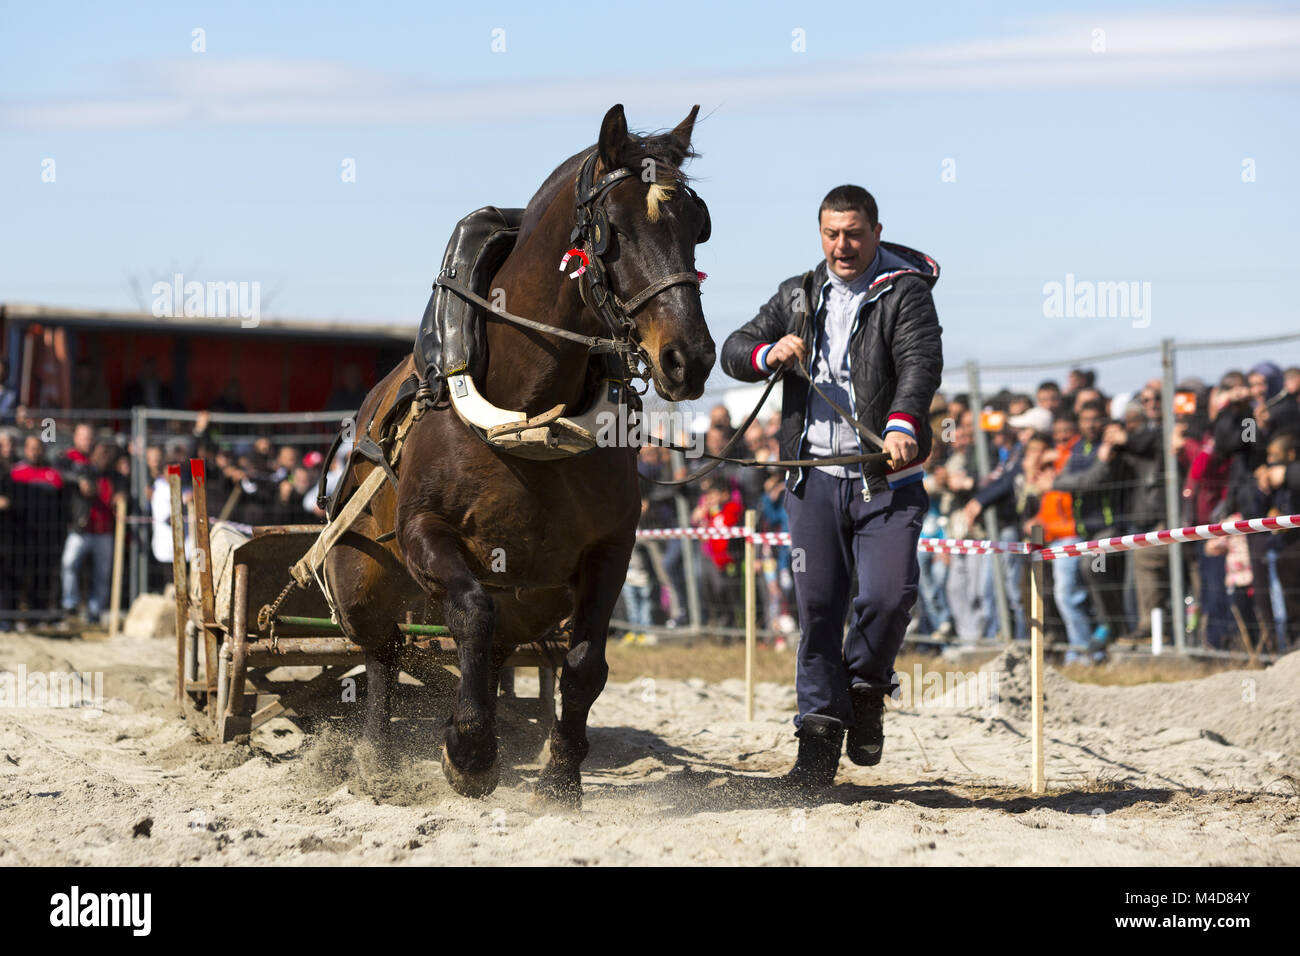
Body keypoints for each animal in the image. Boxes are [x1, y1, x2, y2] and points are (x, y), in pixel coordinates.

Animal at [323, 104, 715, 805]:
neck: (532, 411)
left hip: (534, 598)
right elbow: (470, 615)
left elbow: (584, 664)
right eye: (613, 230)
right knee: (384, 655)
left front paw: (560, 778)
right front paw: (469, 752)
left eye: (698, 228)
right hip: (362, 582)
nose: (688, 359)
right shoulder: (425, 533)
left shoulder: (612, 548)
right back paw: (377, 759)